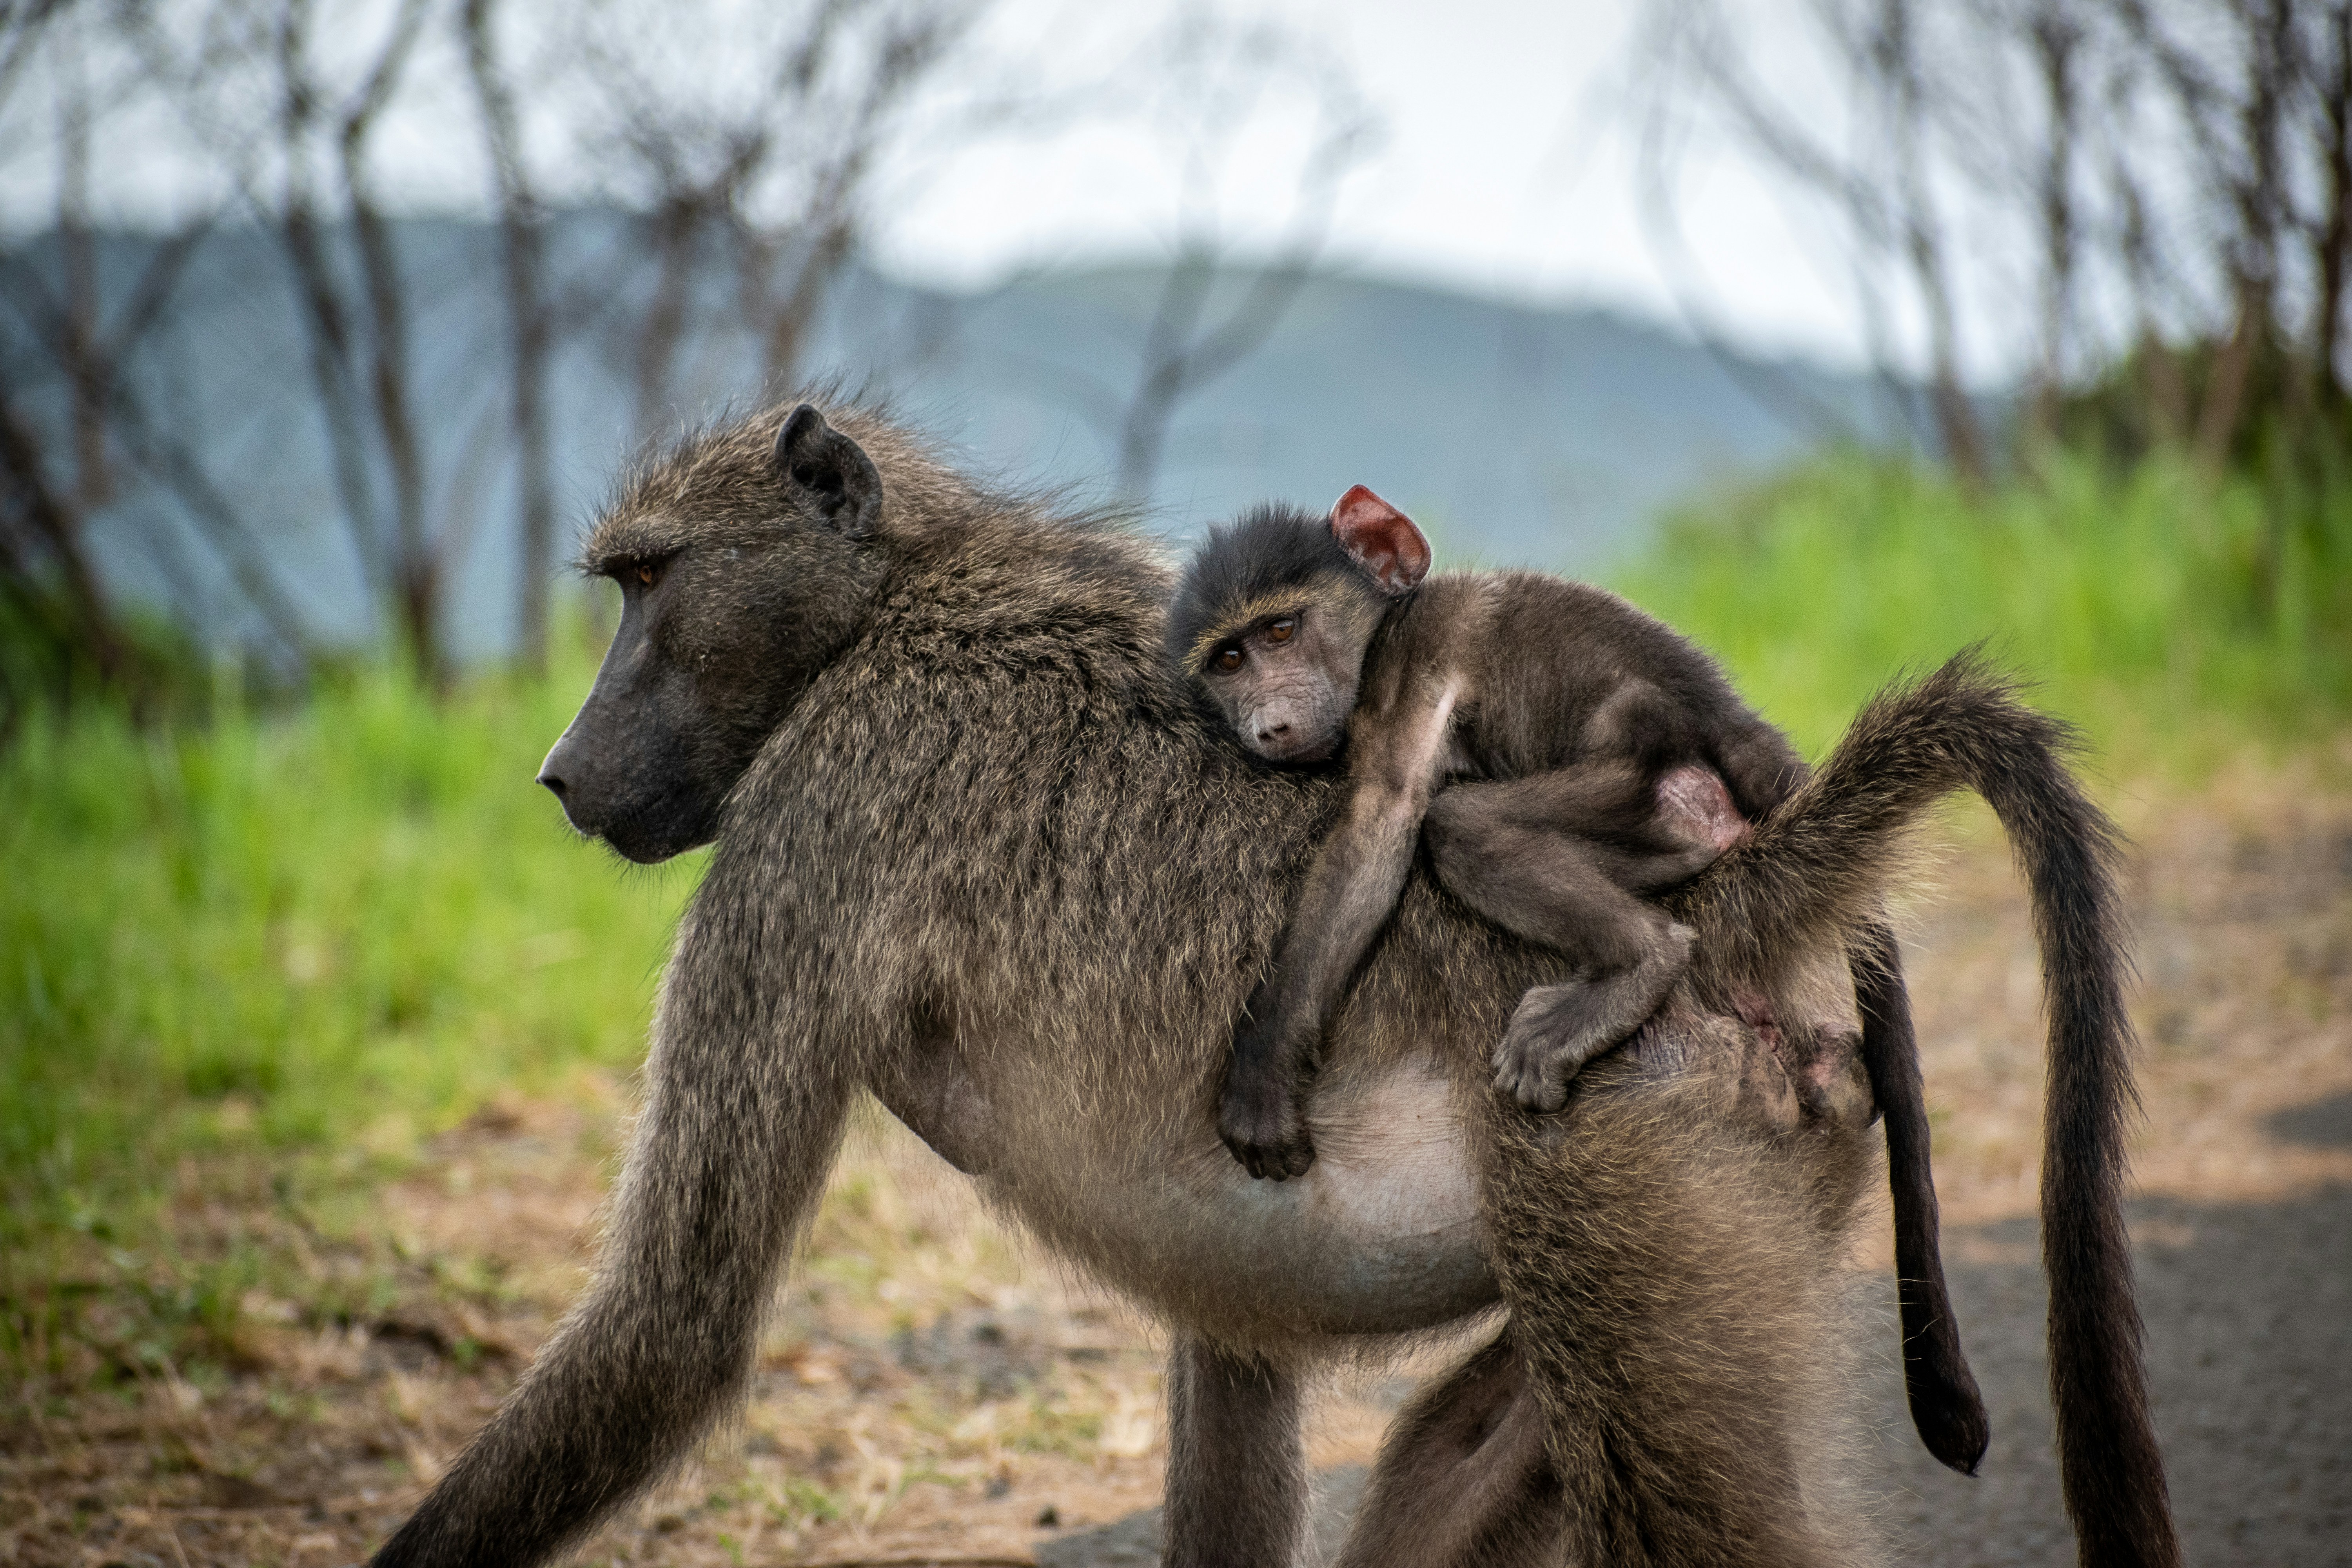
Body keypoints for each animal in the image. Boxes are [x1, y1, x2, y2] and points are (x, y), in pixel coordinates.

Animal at [1169, 487, 1990, 1479]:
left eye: (1282, 630)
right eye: (1229, 659)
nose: (1269, 725)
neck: (1388, 620)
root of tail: (1744, 735)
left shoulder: (1406, 675)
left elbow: (1382, 824)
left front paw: (1260, 1075)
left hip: (1646, 794)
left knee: (1466, 825)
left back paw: (1636, 965)